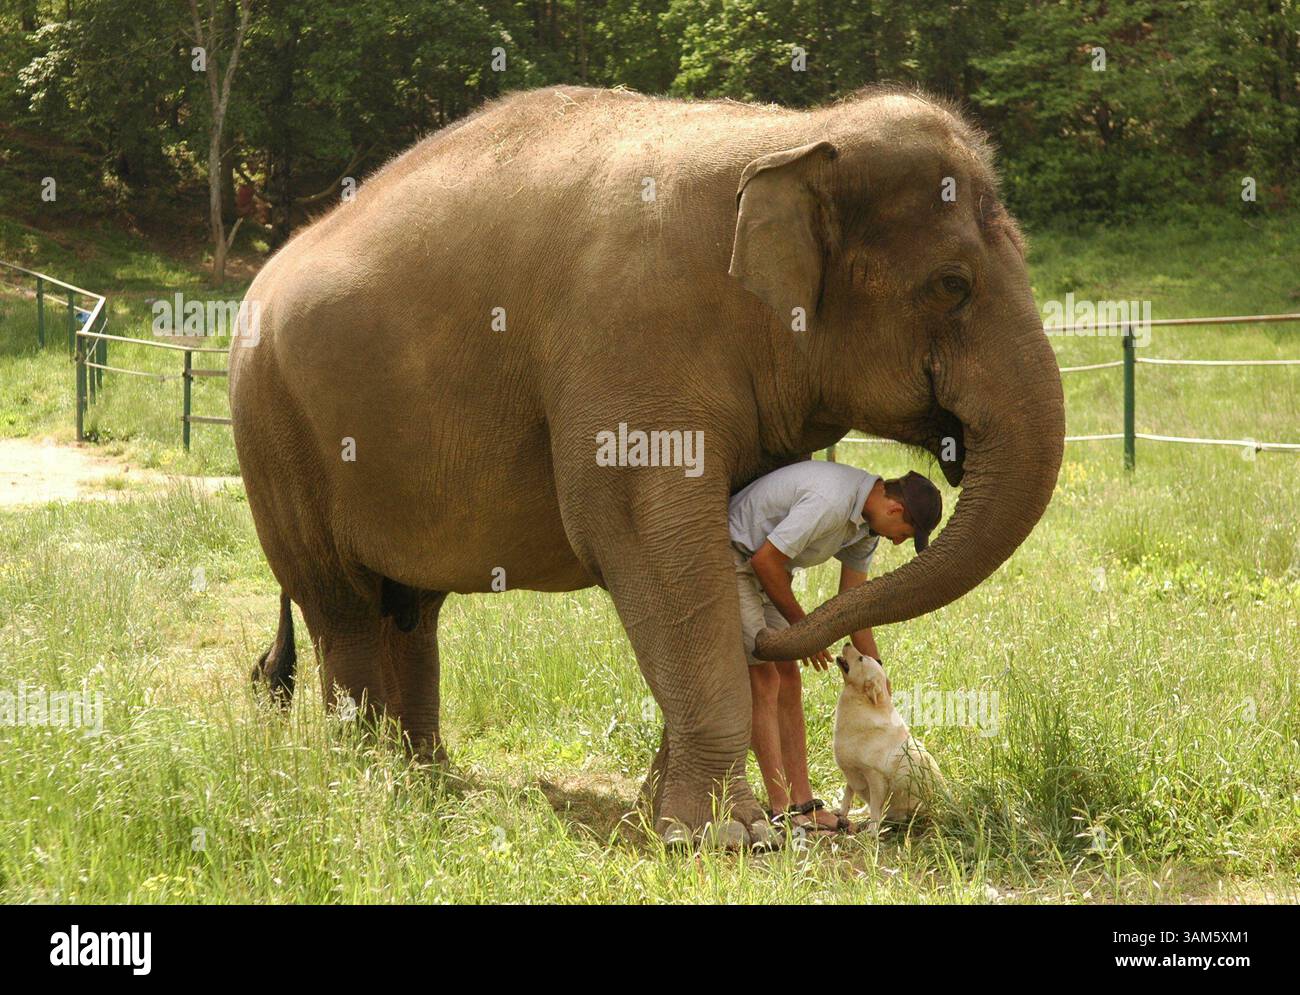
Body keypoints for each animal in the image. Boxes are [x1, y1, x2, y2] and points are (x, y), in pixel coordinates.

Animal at [229, 84, 1064, 846]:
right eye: (952, 284)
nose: (805, 648)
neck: (792, 134)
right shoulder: (631, 346)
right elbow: (649, 543)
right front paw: (724, 834)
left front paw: (662, 815)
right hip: (273, 432)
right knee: (343, 606)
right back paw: (370, 781)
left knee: (410, 609)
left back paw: (429, 776)